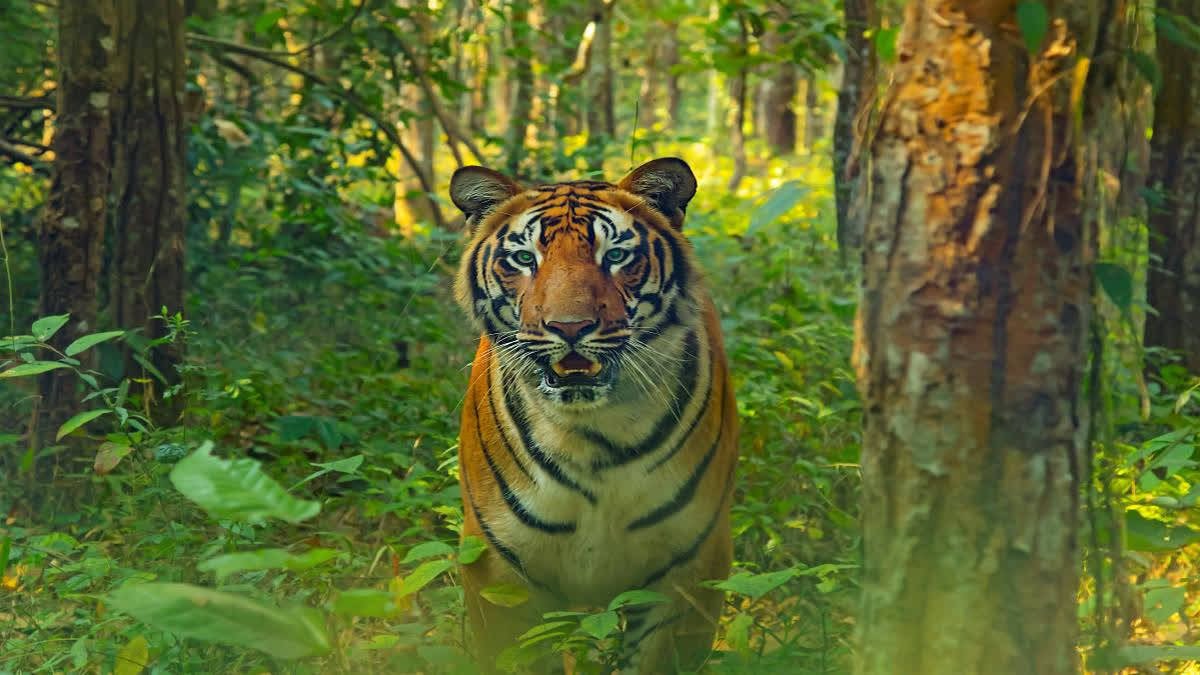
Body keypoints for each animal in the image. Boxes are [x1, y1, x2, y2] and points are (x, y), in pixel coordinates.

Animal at [450, 157, 739, 673]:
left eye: (616, 255)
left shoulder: (689, 563)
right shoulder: (497, 565)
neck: (591, 435)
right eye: (524, 259)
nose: (570, 328)